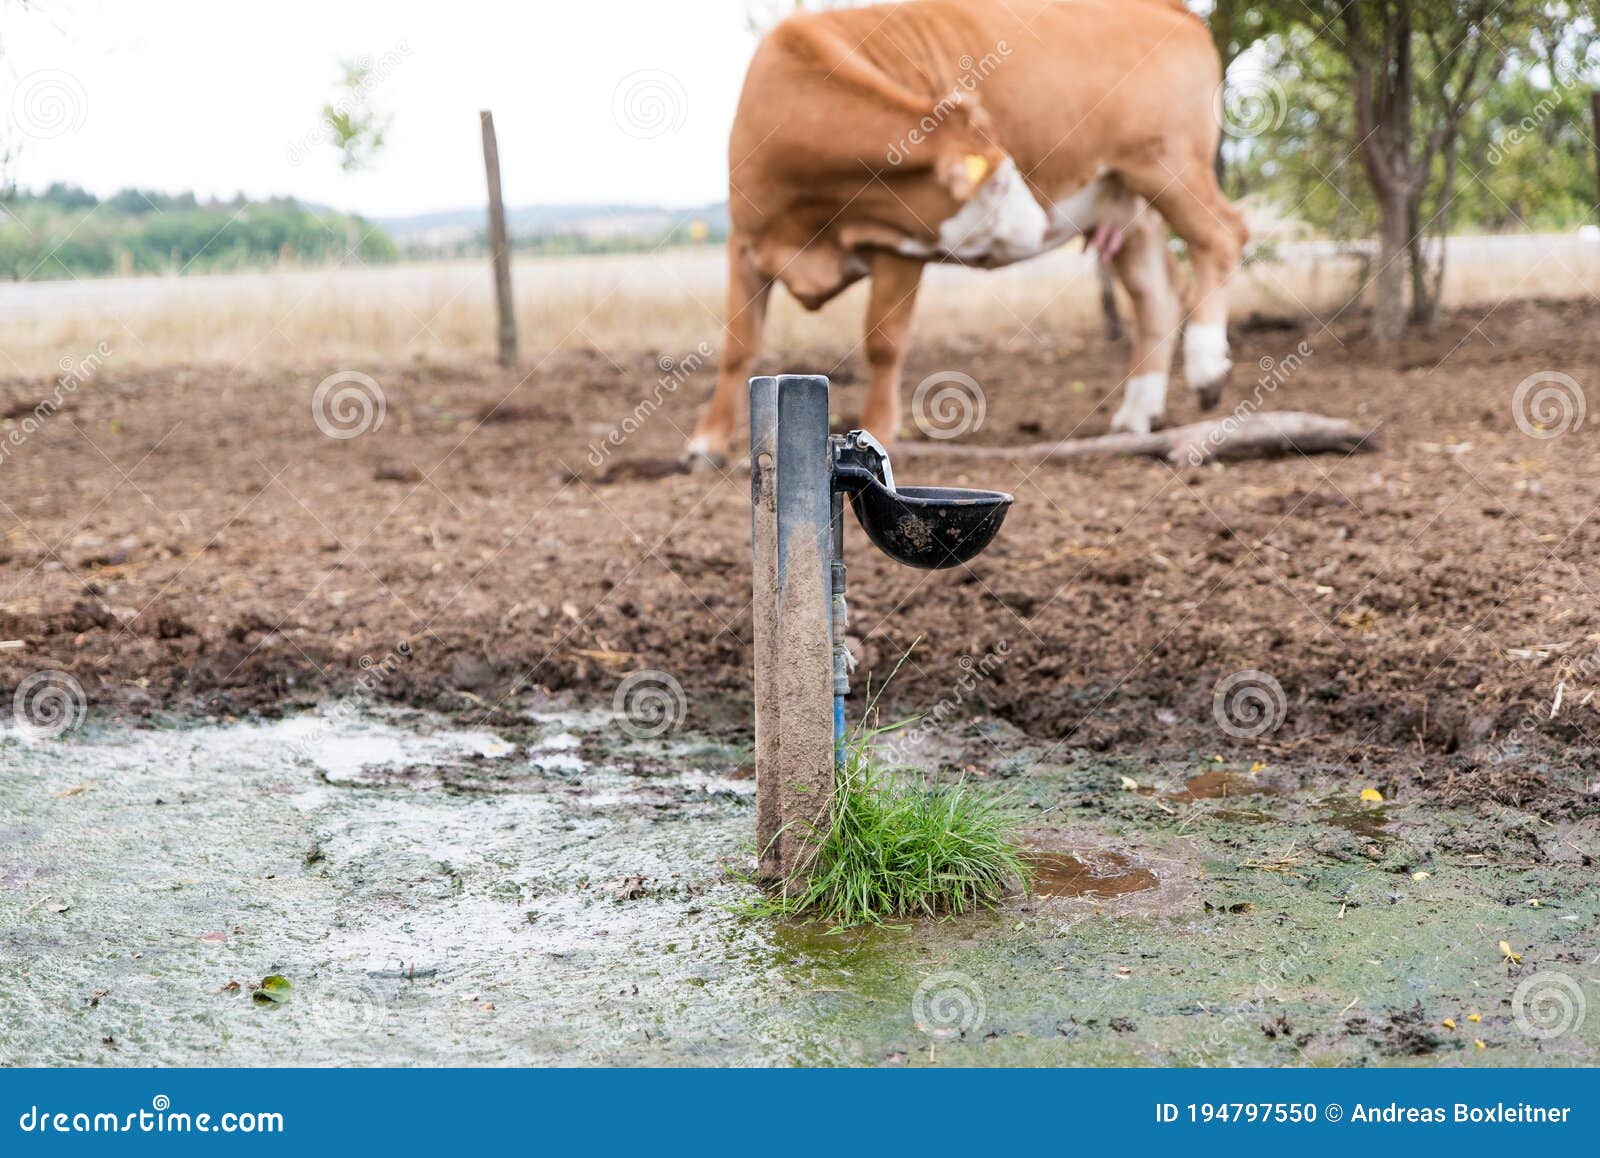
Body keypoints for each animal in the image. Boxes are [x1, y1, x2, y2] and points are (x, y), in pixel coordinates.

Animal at [685, 0, 1248, 466]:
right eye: (997, 181)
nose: (1038, 224)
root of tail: (1168, 8)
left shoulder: (900, 247)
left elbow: (883, 342)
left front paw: (877, 429)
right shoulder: (745, 244)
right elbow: (739, 346)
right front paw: (706, 443)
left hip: (1169, 166)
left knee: (1222, 236)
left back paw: (1206, 366)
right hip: (1125, 203)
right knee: (1156, 293)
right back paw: (1136, 414)